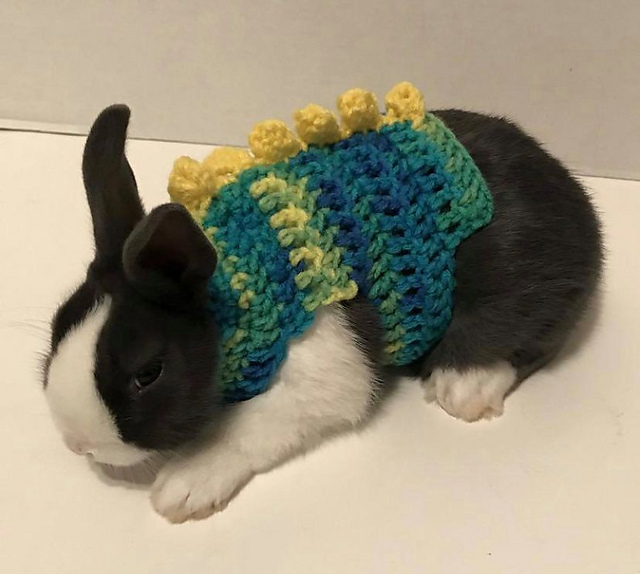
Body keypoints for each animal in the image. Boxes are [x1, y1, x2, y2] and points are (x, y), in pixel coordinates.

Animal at [43, 104, 603, 523]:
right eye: (56, 328)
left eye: (149, 372)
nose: (76, 445)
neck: (237, 293)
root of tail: (577, 198)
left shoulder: (322, 366)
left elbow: (247, 427)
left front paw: (184, 483)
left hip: (521, 288)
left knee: (530, 341)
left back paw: (463, 385)